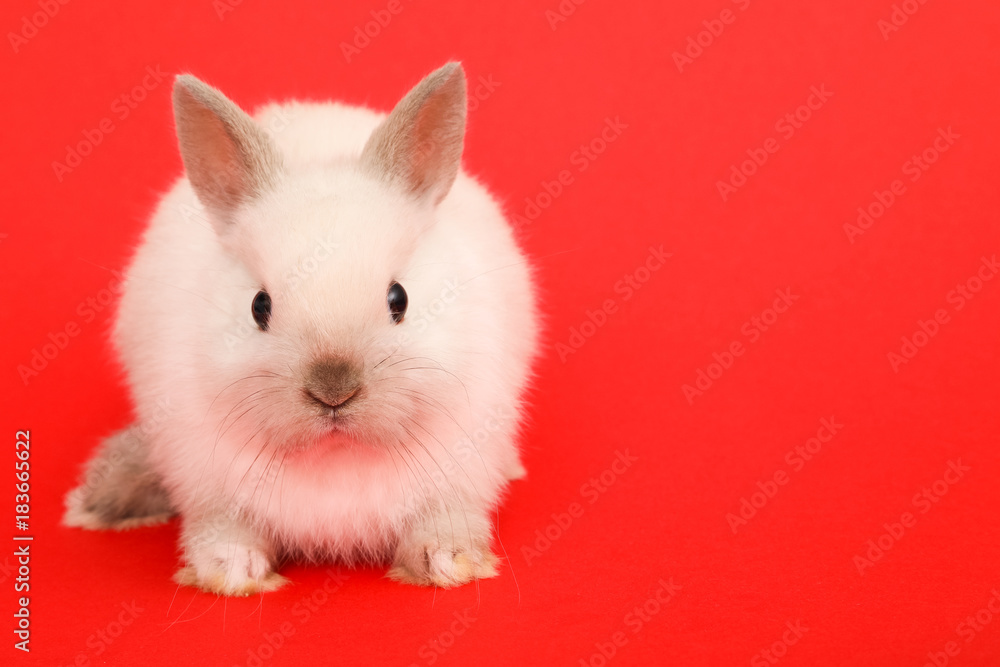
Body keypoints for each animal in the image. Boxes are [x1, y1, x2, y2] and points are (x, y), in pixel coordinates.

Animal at [63, 62, 540, 596]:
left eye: (399, 300)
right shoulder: (208, 484)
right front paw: (233, 571)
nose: (333, 390)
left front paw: (448, 562)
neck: (336, 458)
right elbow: (224, 530)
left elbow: (445, 520)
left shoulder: (461, 471)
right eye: (259, 306)